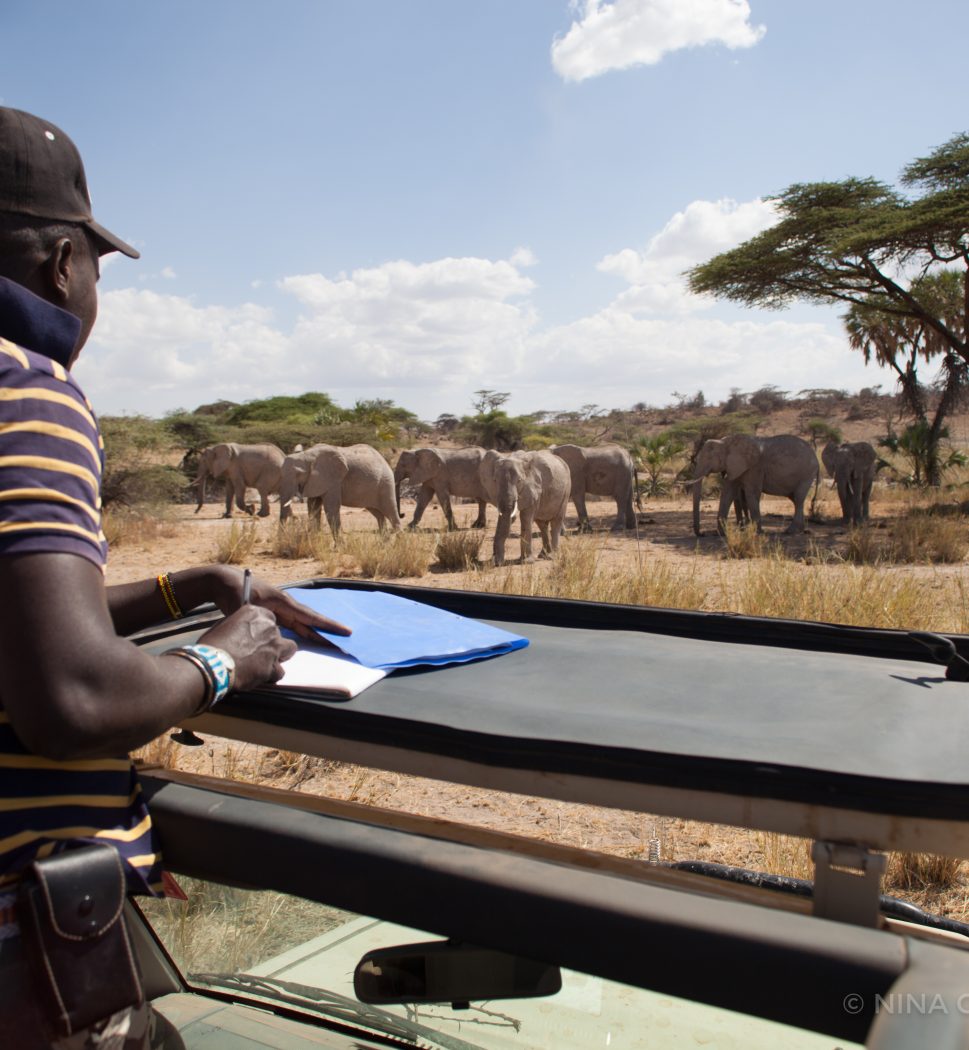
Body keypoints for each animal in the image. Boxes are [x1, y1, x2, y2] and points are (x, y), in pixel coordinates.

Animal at [686, 433, 818, 536]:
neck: (726, 441)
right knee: (795, 499)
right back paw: (800, 530)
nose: (702, 534)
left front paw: (757, 532)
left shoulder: (755, 467)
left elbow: (752, 493)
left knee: (799, 498)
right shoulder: (735, 466)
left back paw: (791, 531)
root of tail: (815, 457)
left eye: (710, 458)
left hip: (806, 474)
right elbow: (727, 493)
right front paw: (721, 533)